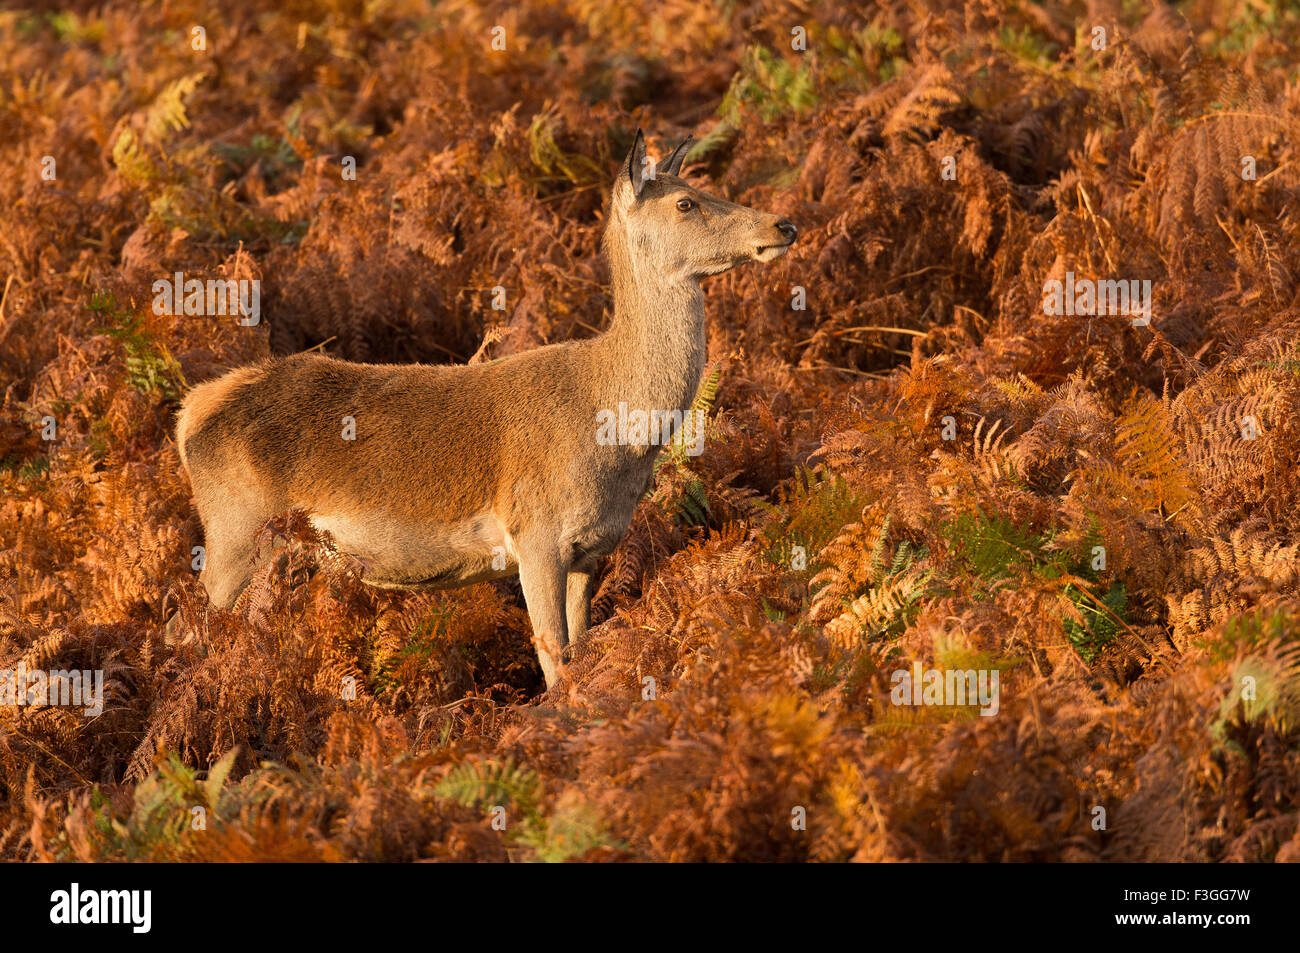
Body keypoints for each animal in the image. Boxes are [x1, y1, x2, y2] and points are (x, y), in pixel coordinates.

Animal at [172, 130, 797, 689]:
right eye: (686, 202)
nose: (783, 224)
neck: (617, 435)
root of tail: (189, 413)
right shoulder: (536, 531)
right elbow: (554, 661)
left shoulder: (591, 549)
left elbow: (578, 652)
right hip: (235, 531)